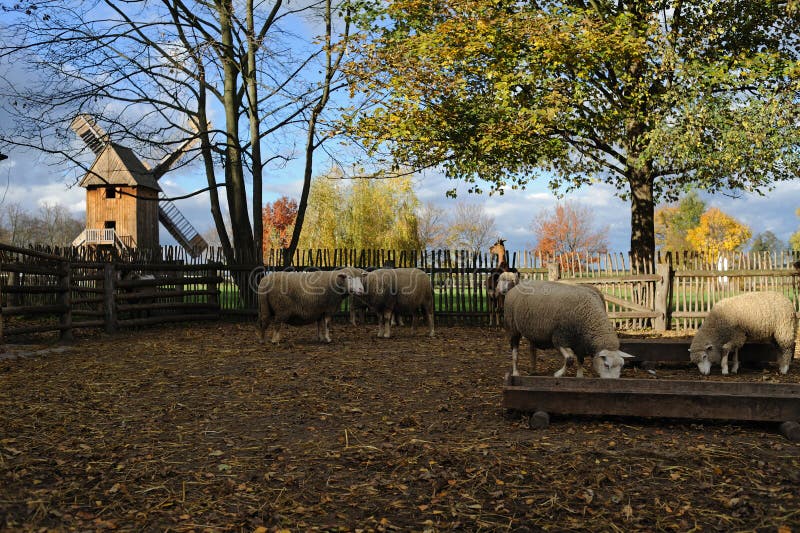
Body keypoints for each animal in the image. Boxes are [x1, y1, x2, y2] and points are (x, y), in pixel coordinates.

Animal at [503, 280, 633, 378]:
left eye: (622, 366)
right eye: (606, 365)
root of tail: (516, 287)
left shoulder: (580, 342)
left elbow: (580, 360)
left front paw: (579, 376)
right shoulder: (559, 337)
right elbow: (570, 359)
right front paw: (558, 374)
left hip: (532, 330)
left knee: (532, 349)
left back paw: (533, 371)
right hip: (513, 327)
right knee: (515, 350)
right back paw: (516, 372)